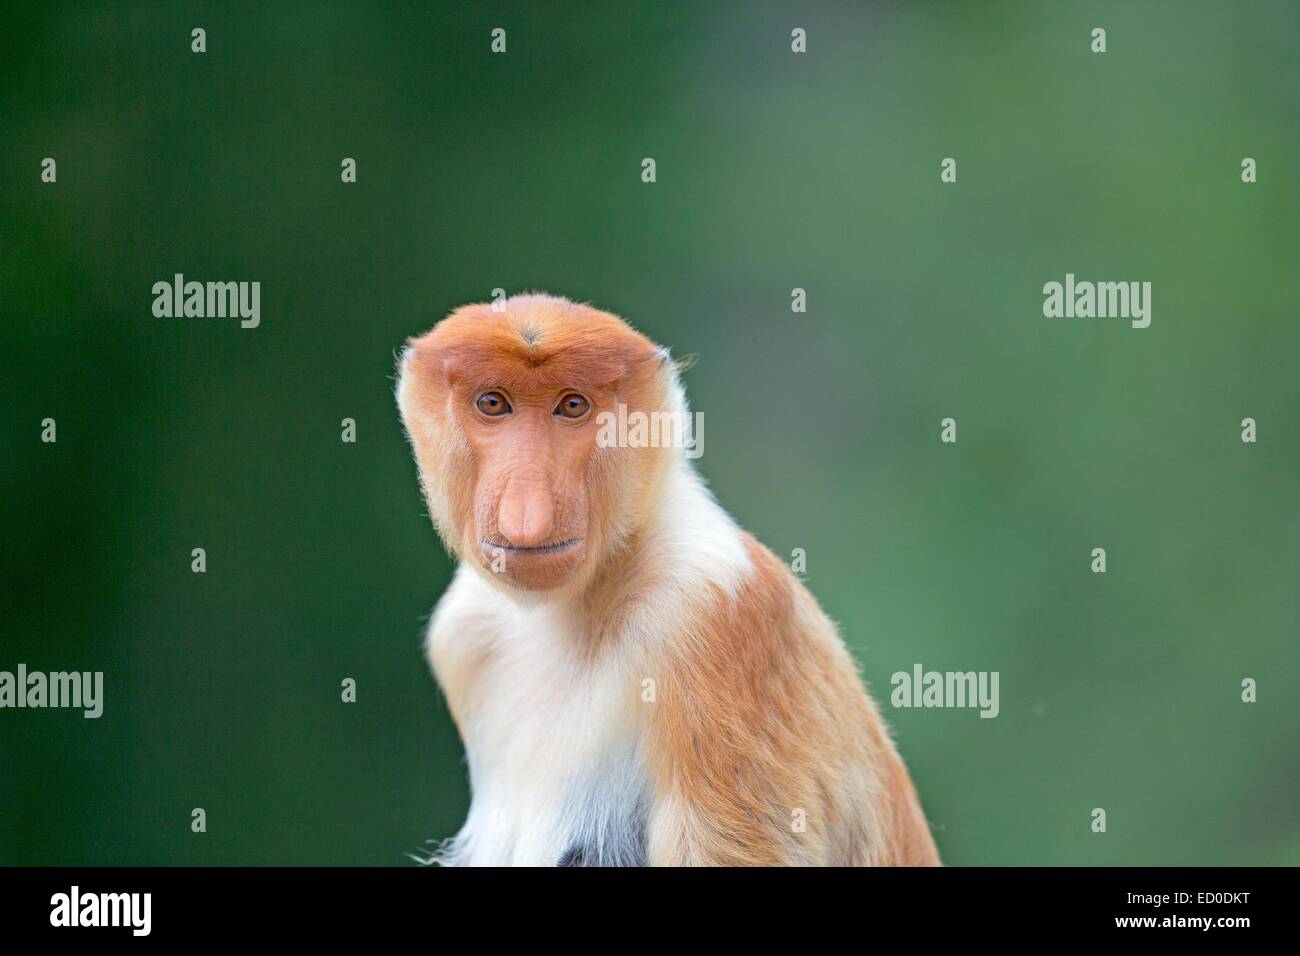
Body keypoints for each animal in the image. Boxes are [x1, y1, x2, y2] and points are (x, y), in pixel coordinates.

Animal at [396, 293, 940, 866]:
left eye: (573, 406)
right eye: (493, 404)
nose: (527, 515)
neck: (588, 599)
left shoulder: (709, 612)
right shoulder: (464, 631)